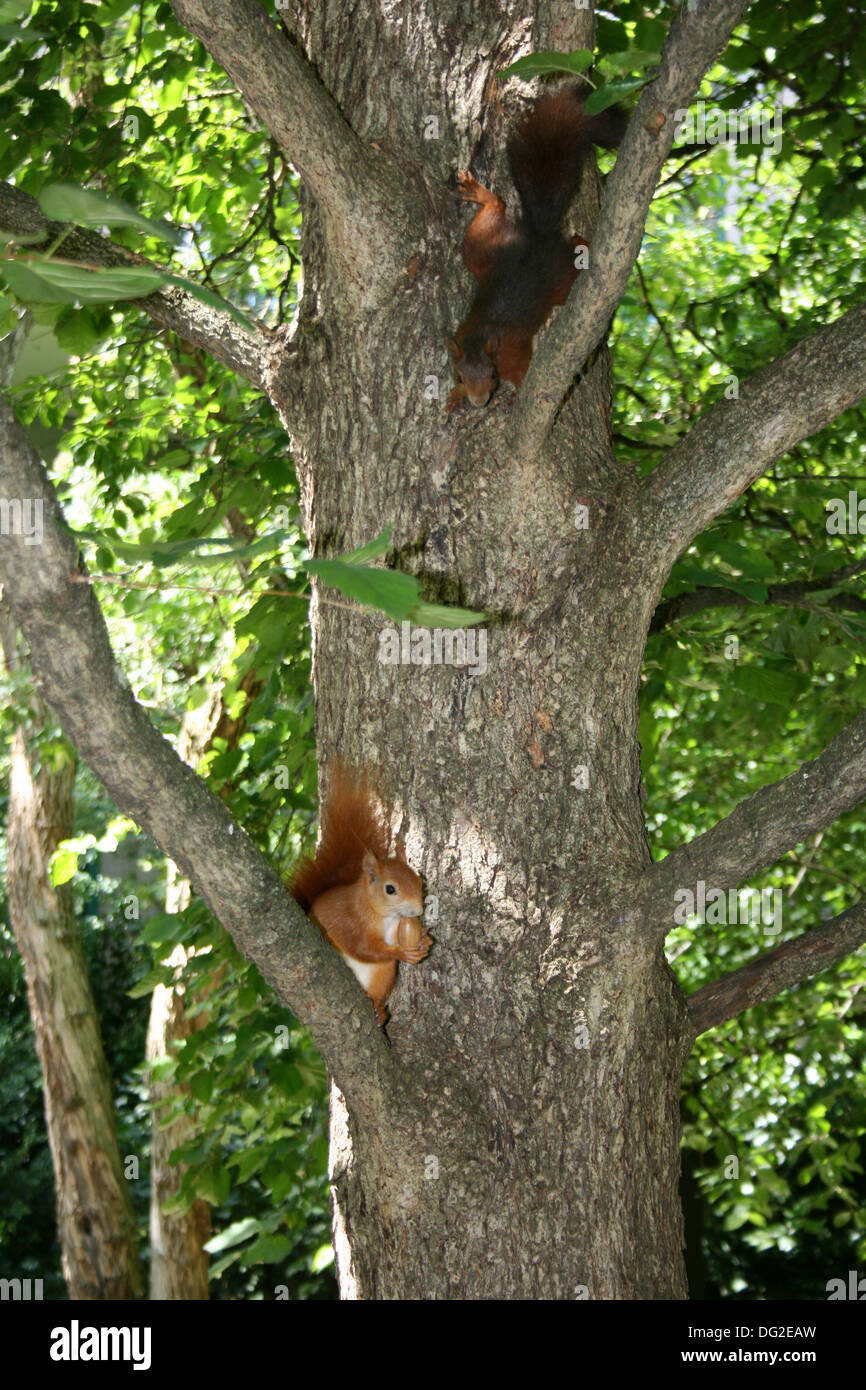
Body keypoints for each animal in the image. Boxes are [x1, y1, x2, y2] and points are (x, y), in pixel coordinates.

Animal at [287, 762, 430, 1025]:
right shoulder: (349, 919)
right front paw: (401, 951)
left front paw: (424, 940)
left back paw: (378, 1009)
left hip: (384, 973)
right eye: (390, 889)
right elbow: (362, 946)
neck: (384, 916)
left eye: (419, 880)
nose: (418, 910)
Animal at [446, 87, 626, 410]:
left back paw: (585, 246)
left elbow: (524, 375)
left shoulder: (514, 355)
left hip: (558, 278)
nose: (479, 402)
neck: (480, 337)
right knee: (498, 207)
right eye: (459, 377)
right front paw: (455, 396)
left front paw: (514, 396)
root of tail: (537, 236)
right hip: (483, 249)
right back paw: (480, 194)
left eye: (493, 375)